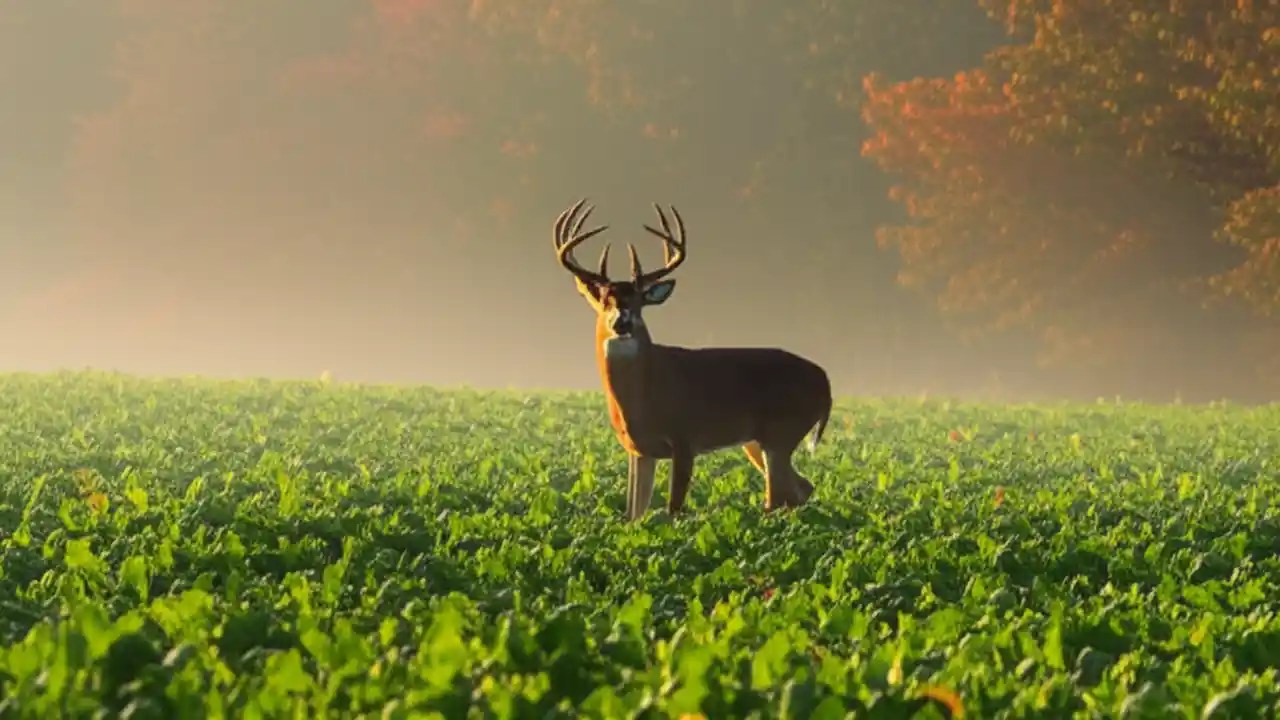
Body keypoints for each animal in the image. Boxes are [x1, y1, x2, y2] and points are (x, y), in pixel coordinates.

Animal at [551, 198, 833, 521]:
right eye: (605, 300)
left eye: (639, 301)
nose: (622, 322)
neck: (642, 396)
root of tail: (826, 383)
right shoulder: (638, 449)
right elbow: (633, 514)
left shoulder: (685, 437)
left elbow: (674, 508)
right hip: (756, 441)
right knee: (801, 489)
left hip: (781, 432)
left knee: (777, 498)